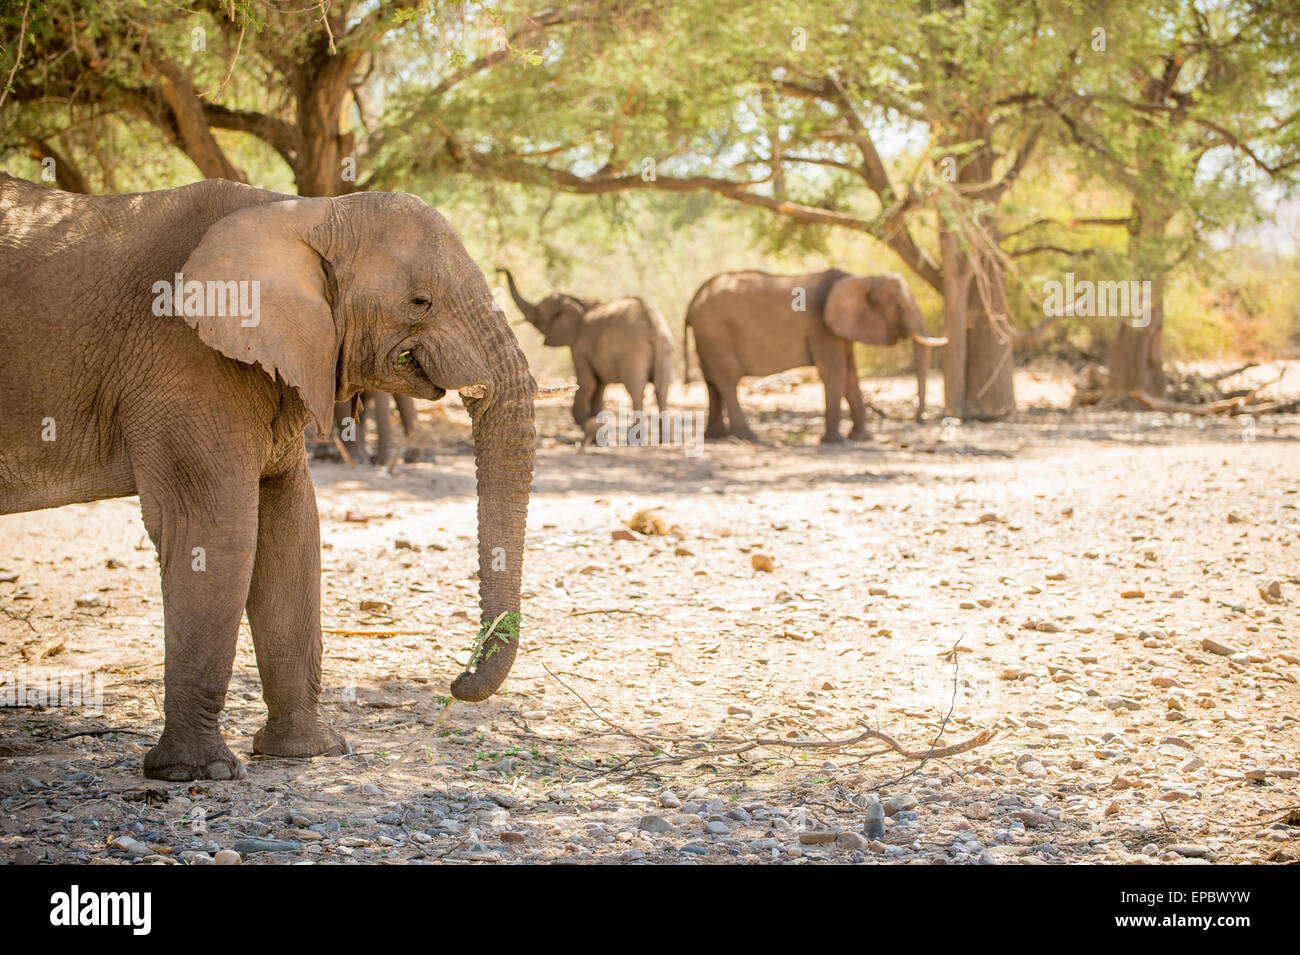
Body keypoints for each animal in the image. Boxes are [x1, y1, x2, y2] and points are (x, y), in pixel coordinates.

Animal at [0, 173, 537, 780]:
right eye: (420, 301)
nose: (457, 683)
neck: (303, 214)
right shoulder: (185, 357)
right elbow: (218, 531)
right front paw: (196, 774)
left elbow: (292, 528)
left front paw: (308, 752)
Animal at [497, 268, 675, 437]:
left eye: (539, 313)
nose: (498, 269)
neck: (578, 302)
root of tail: (652, 325)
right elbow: (599, 387)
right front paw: (596, 429)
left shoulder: (580, 346)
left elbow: (588, 383)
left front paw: (590, 427)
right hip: (665, 346)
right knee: (662, 389)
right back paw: (663, 439)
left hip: (633, 351)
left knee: (636, 390)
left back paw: (635, 438)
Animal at [684, 269, 947, 443]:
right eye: (899, 307)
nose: (919, 419)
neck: (861, 278)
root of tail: (694, 300)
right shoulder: (821, 327)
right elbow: (835, 372)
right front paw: (834, 441)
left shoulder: (840, 331)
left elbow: (851, 376)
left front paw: (862, 438)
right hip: (716, 333)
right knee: (727, 380)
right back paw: (748, 437)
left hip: (707, 337)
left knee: (711, 383)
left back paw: (716, 436)